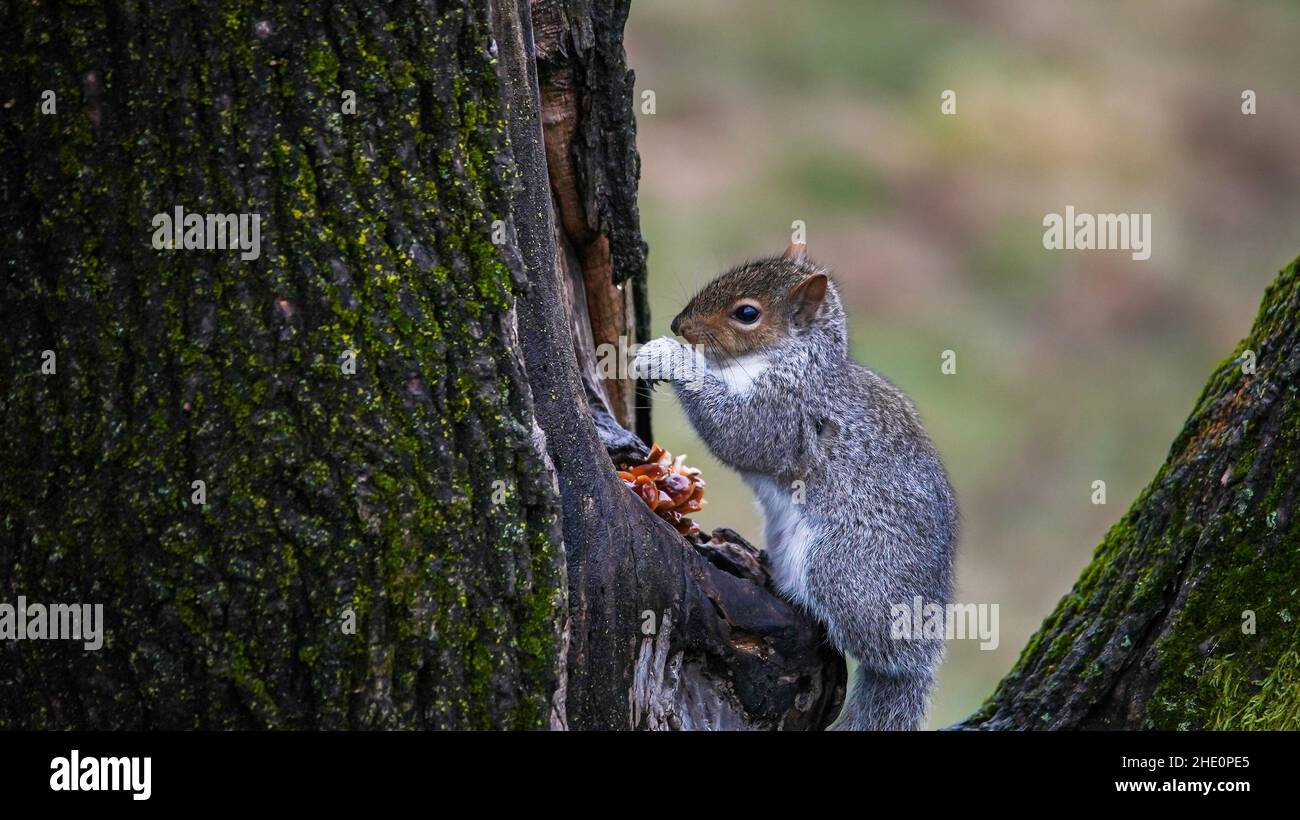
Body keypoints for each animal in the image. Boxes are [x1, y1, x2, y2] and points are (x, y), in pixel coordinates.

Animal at [633, 243, 957, 730]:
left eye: (747, 313)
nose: (678, 326)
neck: (790, 359)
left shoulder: (788, 411)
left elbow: (740, 432)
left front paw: (671, 356)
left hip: (843, 567)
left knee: (872, 646)